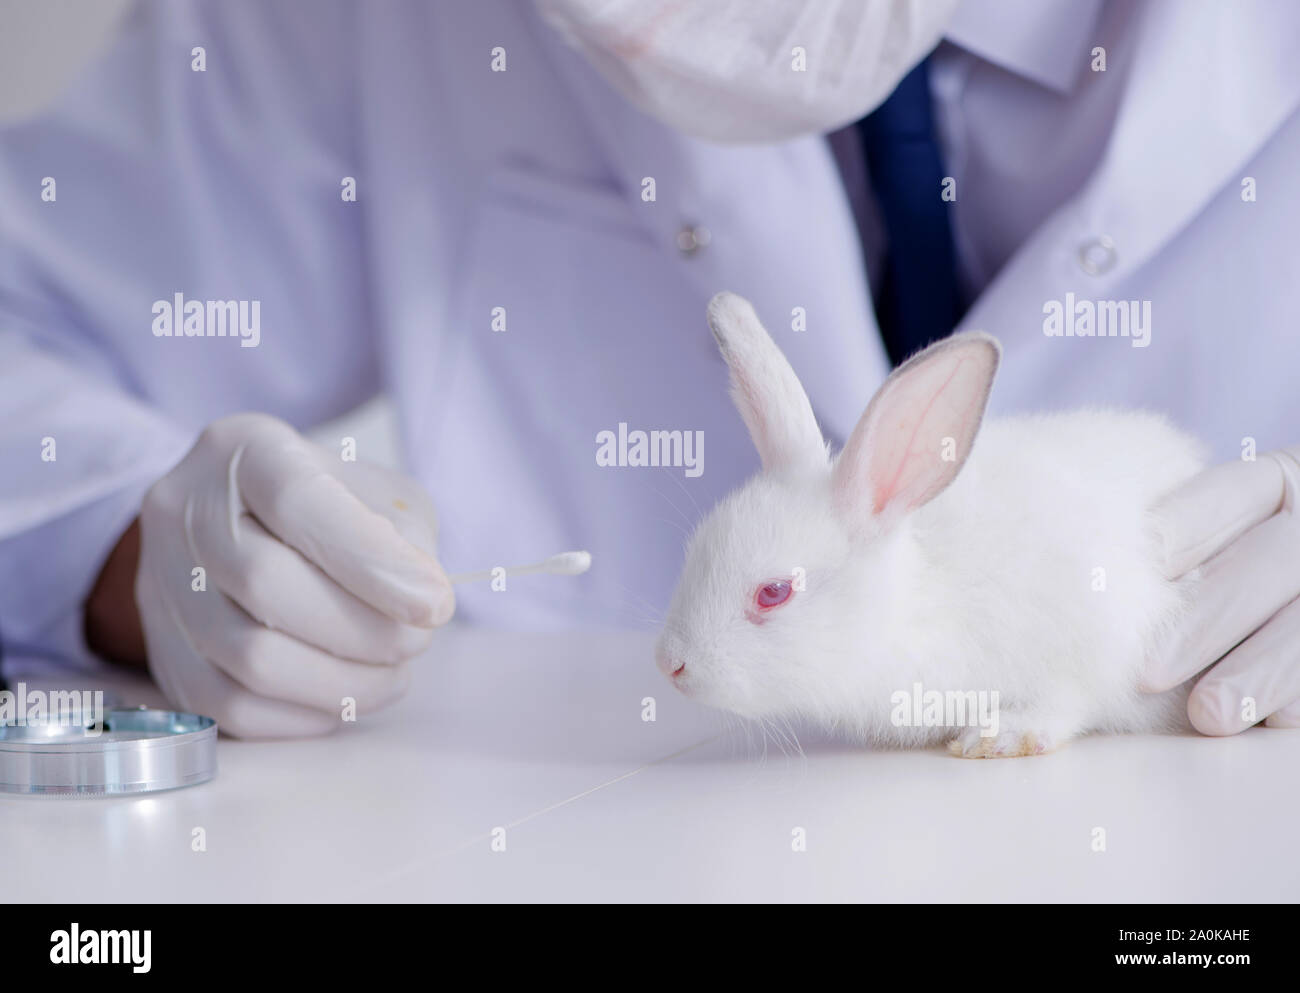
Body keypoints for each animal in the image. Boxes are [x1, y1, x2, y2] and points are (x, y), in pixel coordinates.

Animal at [655, 292, 1206, 758]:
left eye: (773, 593)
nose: (669, 664)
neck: (916, 604)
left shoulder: (1090, 640)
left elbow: (1066, 703)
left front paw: (998, 736)